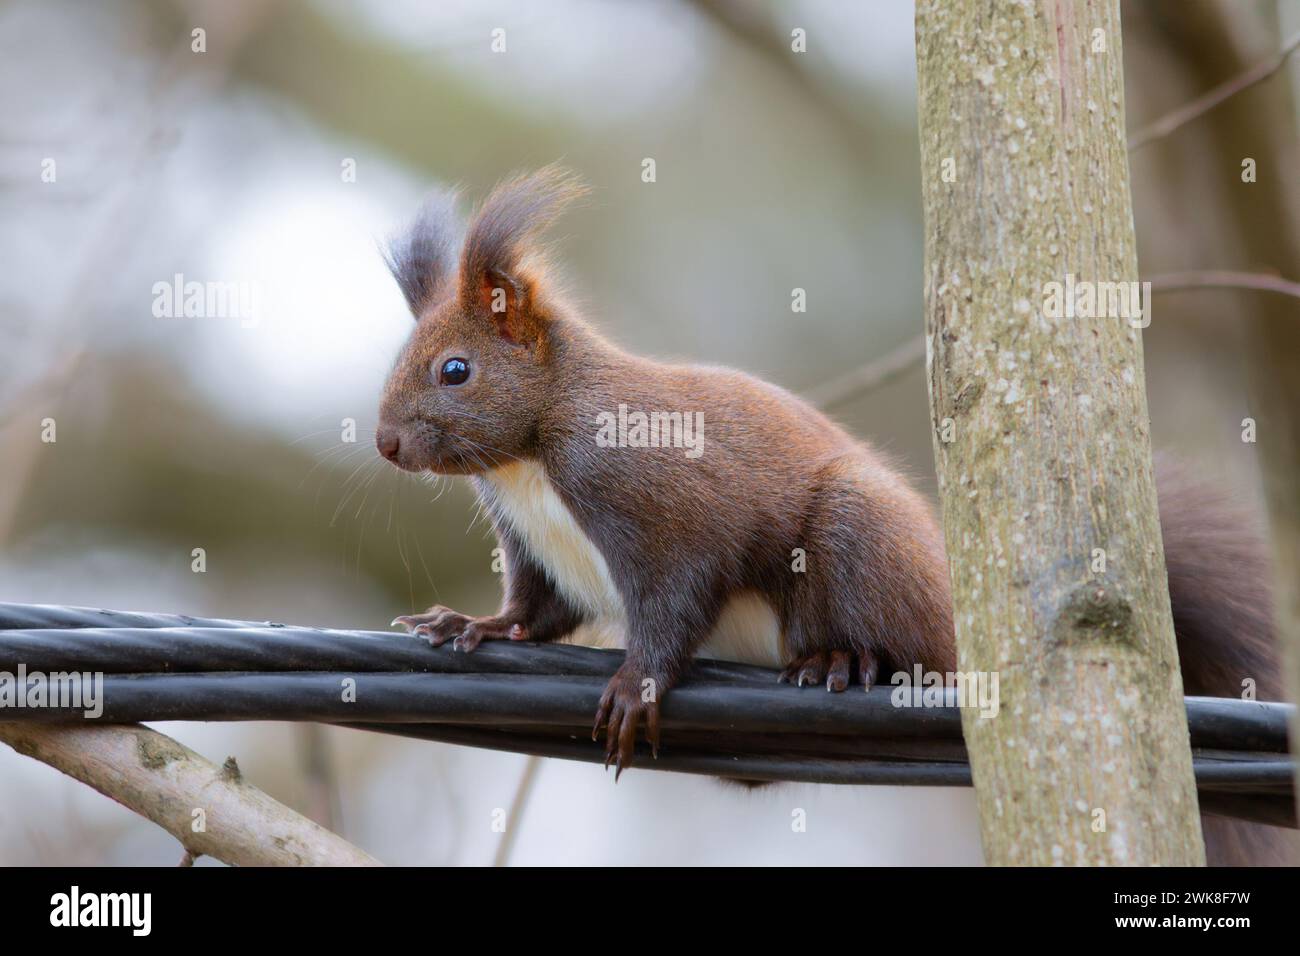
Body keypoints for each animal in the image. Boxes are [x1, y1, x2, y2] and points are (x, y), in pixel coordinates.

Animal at [376, 166, 1290, 865]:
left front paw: (636, 685)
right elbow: (536, 611)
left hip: (859, 536)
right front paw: (472, 625)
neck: (531, 455)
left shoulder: (661, 505)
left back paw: (843, 662)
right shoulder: (533, 542)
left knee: (904, 642)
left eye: (455, 369)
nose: (384, 442)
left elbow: (677, 596)